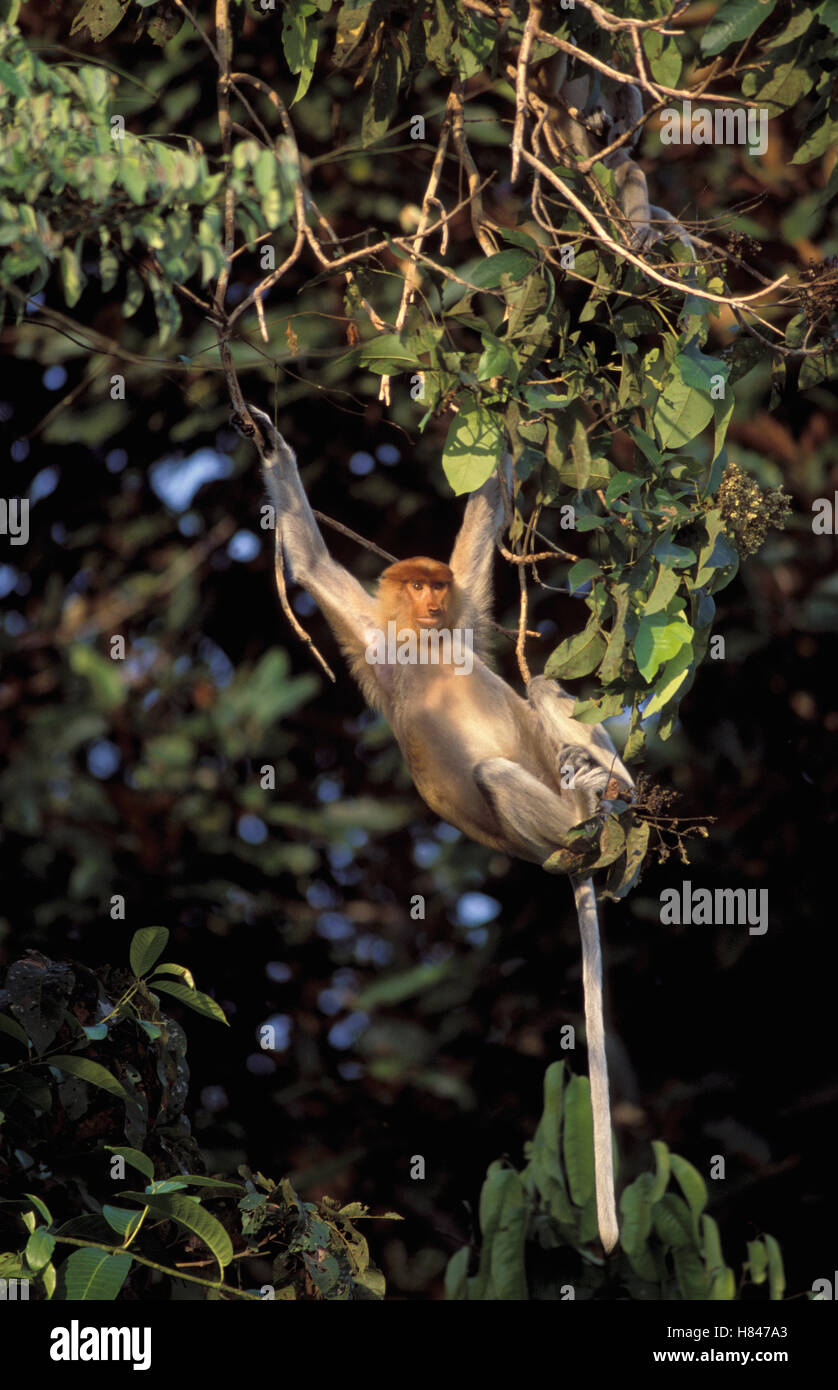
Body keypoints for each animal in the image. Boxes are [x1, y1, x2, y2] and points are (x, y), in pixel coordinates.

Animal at [236, 406, 633, 1252]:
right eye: (413, 583)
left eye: (434, 586)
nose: (426, 600)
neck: (420, 642)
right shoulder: (373, 635)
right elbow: (311, 564)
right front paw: (268, 442)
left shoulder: (464, 617)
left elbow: (481, 530)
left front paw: (511, 411)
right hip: (536, 833)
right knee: (498, 775)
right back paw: (593, 827)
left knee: (545, 691)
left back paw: (616, 791)